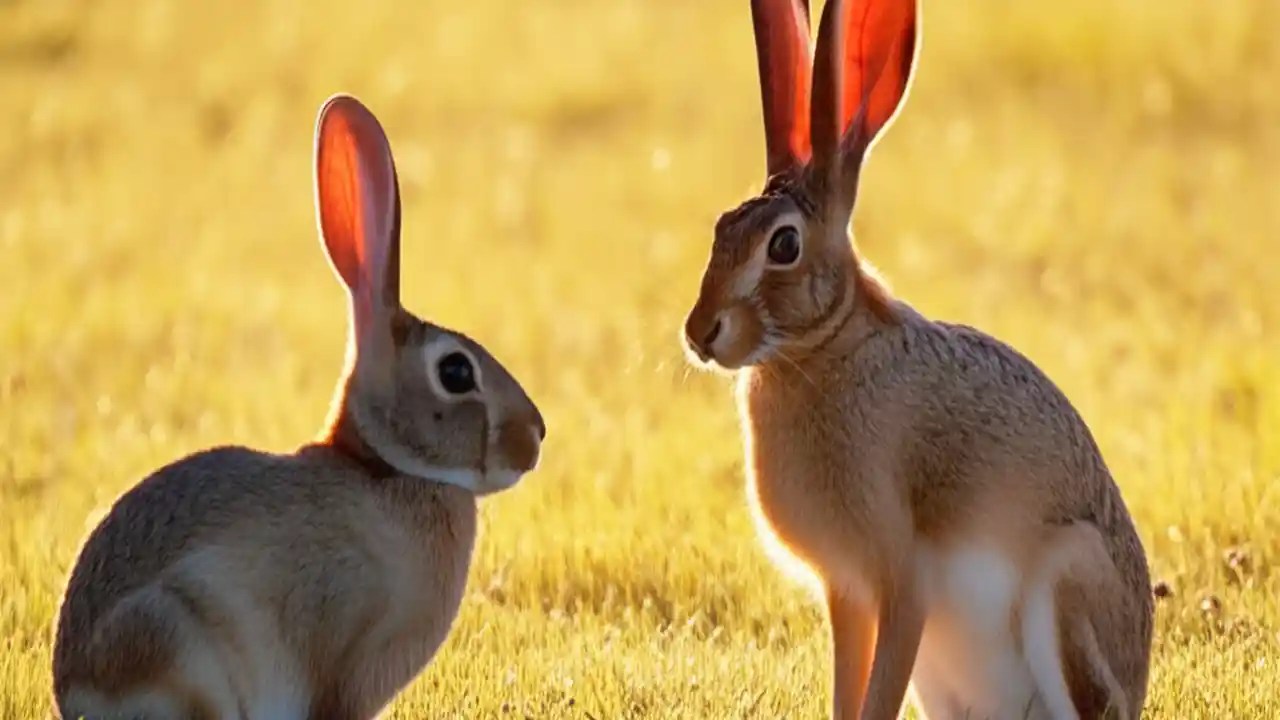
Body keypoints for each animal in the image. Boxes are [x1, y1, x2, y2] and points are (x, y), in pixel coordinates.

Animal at [681, 1, 1153, 719]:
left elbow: (879, 689)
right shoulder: (846, 590)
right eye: (720, 229)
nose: (700, 333)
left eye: (783, 245)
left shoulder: (901, 580)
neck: (824, 349)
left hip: (1068, 583)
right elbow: (849, 688)